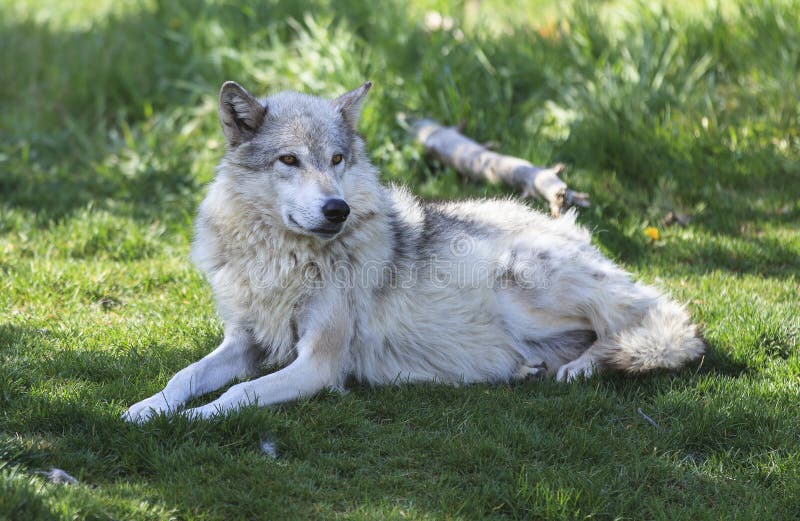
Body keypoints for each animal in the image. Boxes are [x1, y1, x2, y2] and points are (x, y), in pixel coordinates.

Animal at [123, 81, 704, 423]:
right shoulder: (246, 342)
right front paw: (145, 409)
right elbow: (183, 377)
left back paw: (580, 368)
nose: (337, 210)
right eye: (289, 160)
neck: (283, 260)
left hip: (519, 278)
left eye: (336, 159)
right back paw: (524, 369)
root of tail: (575, 228)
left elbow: (234, 397)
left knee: (651, 325)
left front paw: (189, 420)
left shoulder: (318, 365)